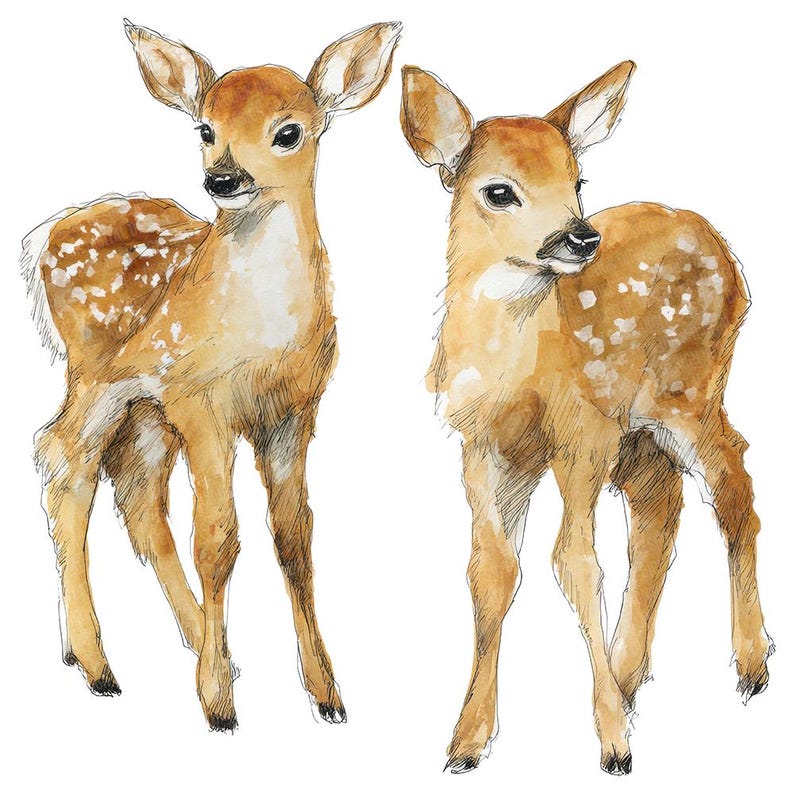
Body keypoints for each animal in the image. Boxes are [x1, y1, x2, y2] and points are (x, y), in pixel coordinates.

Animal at [21, 19, 401, 731]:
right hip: (95, 373)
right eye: (205, 127)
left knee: (135, 495)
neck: (262, 334)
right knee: (63, 460)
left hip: (144, 408)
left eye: (289, 131)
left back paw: (185, 644)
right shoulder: (202, 400)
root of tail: (42, 238)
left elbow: (294, 536)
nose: (223, 179)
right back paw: (101, 664)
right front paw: (219, 705)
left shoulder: (293, 409)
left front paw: (327, 693)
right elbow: (218, 538)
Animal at [400, 62, 771, 774]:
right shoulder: (482, 447)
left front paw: (614, 746)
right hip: (640, 433)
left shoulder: (581, 433)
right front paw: (467, 741)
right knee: (661, 509)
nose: (580, 237)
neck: (513, 369)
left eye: (578, 181)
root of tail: (718, 242)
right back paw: (629, 677)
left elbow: (574, 563)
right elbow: (491, 572)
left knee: (734, 484)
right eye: (500, 191)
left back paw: (749, 665)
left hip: (688, 393)